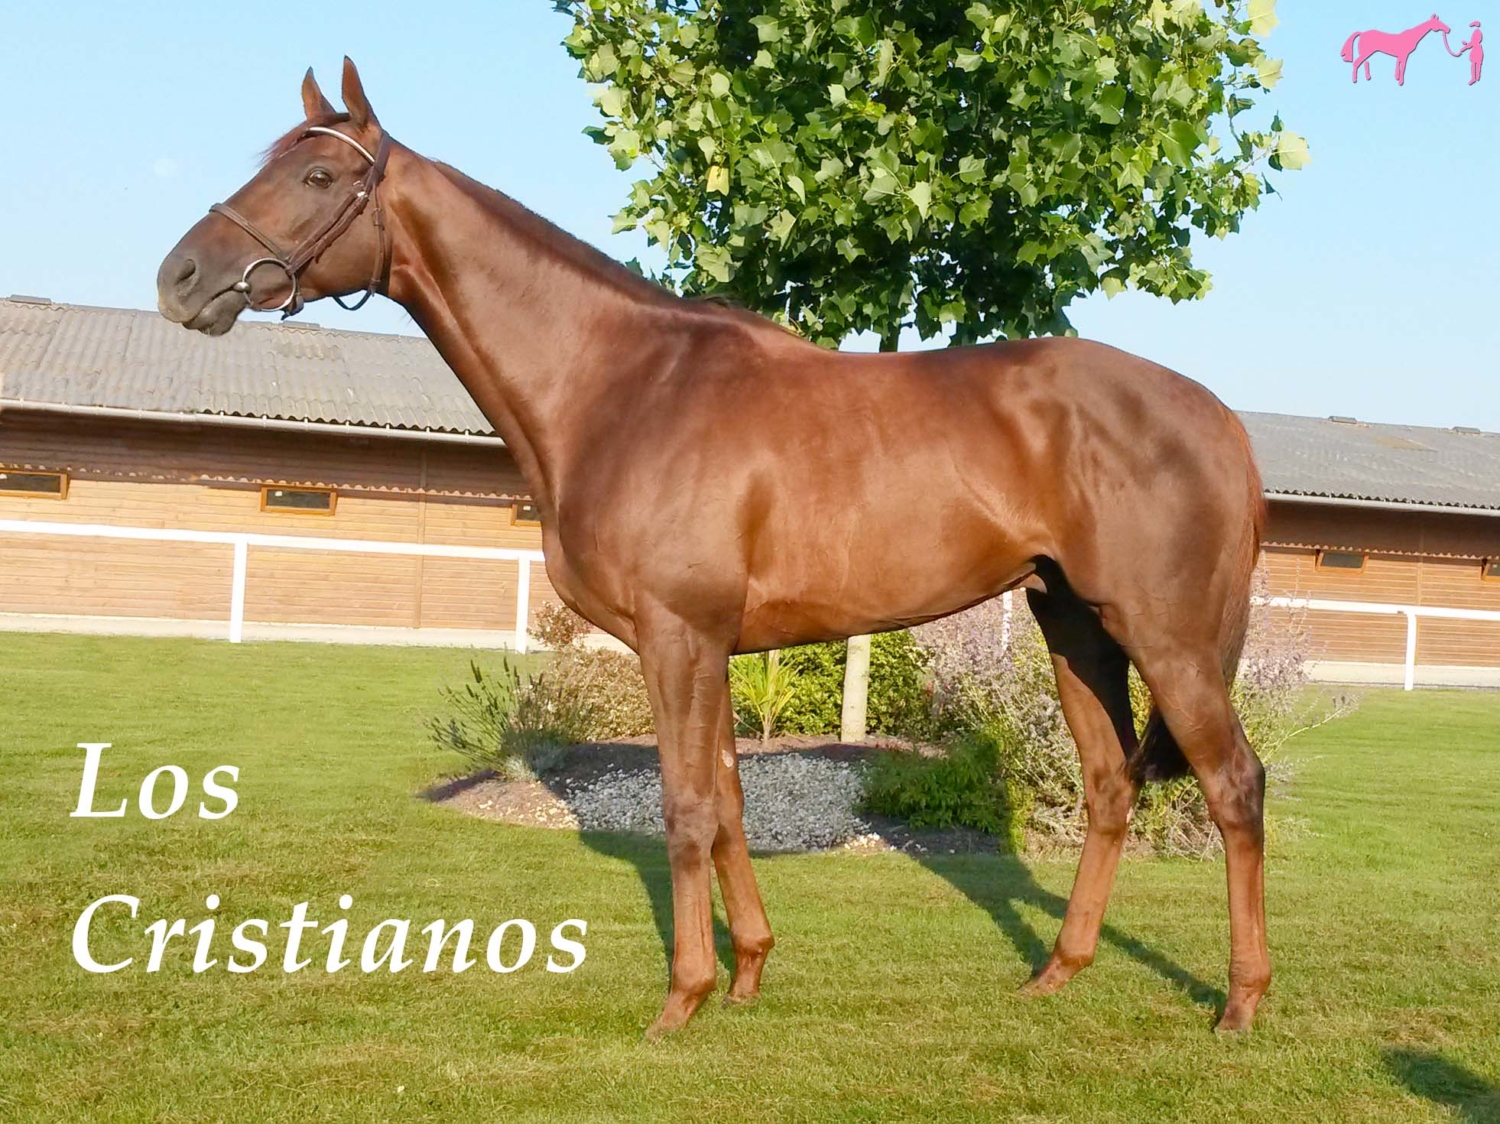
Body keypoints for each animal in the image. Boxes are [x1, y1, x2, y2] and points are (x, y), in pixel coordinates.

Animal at [157, 60, 1271, 1037]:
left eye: (319, 176)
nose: (181, 277)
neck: (618, 385)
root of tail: (1216, 415)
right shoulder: (714, 649)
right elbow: (732, 800)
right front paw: (746, 975)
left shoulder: (676, 638)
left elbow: (687, 807)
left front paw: (681, 999)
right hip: (1073, 624)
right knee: (1110, 784)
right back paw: (1058, 972)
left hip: (1165, 637)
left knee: (1234, 785)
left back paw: (1240, 1002)